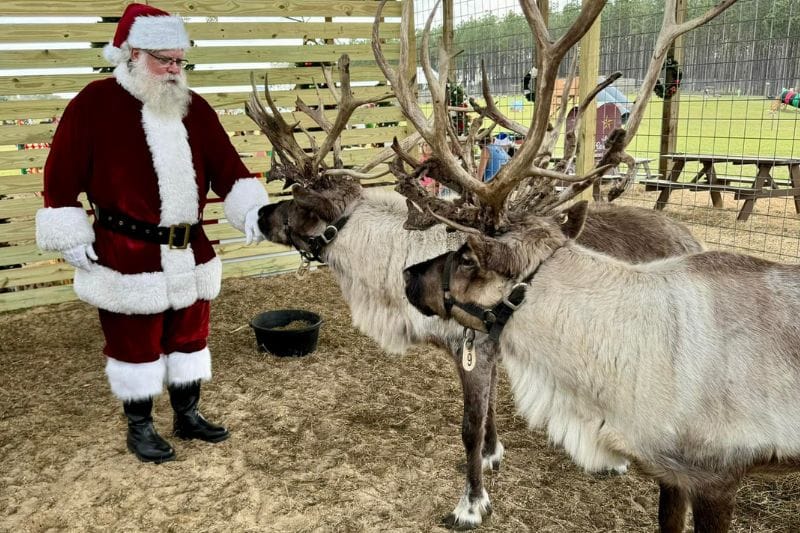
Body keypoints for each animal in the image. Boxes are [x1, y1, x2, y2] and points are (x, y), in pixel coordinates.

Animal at [388, 0, 800, 531]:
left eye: (466, 255)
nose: (407, 275)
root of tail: (686, 234)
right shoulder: (674, 470)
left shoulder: (716, 474)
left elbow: (471, 425)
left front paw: (470, 501)